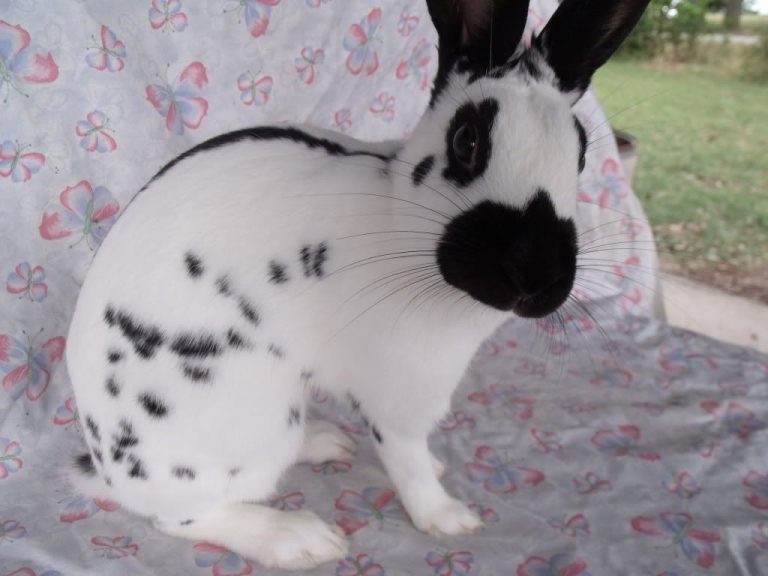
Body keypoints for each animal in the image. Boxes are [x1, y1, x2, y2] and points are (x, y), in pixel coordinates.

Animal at [65, 0, 650, 569]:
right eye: (466, 140)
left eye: (580, 153)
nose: (535, 276)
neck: (398, 219)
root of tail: (107, 469)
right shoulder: (400, 399)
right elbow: (408, 462)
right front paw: (449, 518)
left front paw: (439, 473)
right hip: (247, 423)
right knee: (185, 517)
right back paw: (301, 540)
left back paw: (326, 443)